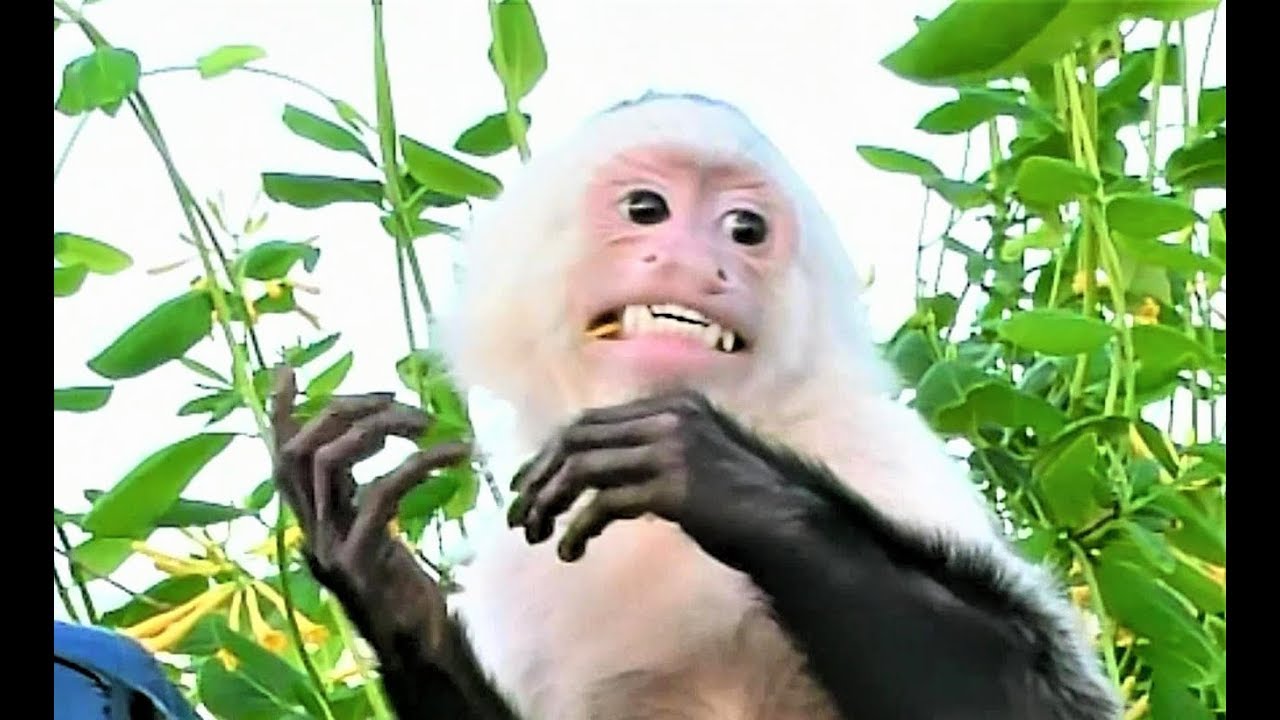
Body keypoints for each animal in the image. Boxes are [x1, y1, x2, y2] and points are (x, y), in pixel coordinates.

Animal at [270, 92, 1122, 720]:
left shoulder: (879, 447)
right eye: (648, 209)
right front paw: (385, 583)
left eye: (745, 229)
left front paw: (726, 482)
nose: (702, 261)